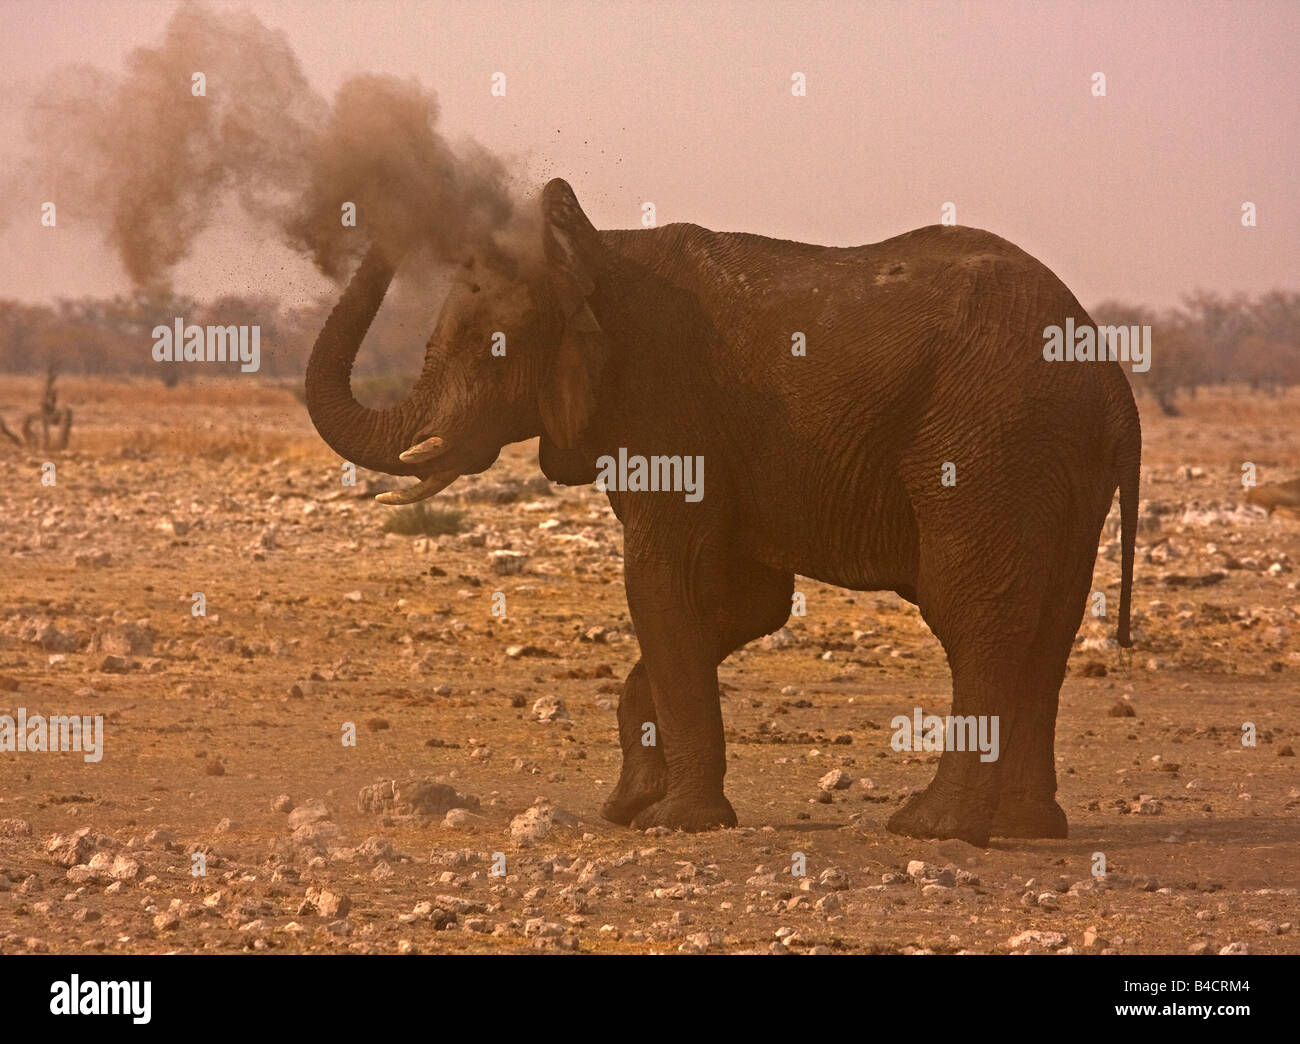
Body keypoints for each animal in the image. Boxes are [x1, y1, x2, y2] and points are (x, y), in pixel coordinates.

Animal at [305, 178, 1142, 845]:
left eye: (490, 348)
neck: (596, 253)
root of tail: (1111, 377)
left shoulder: (665, 407)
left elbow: (658, 581)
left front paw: (676, 823)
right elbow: (745, 602)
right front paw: (627, 807)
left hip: (989, 439)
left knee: (974, 613)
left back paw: (934, 829)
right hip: (1054, 458)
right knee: (1050, 624)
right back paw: (1027, 829)